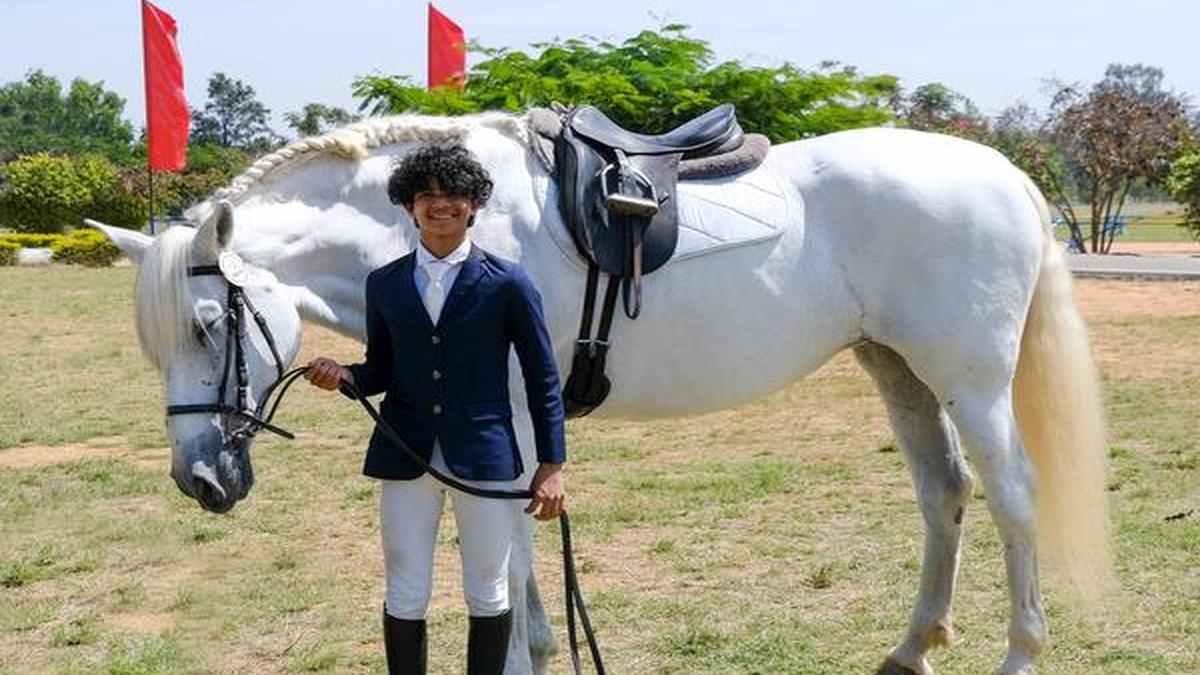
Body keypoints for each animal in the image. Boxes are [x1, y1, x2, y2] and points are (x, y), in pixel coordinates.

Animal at [93, 110, 1112, 675]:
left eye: (210, 325)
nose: (199, 481)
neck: (450, 234)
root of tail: (1004, 170)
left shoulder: (505, 416)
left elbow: (505, 560)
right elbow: (520, 559)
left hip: (970, 379)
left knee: (1014, 498)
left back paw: (1020, 655)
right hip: (896, 368)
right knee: (945, 495)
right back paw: (912, 646)